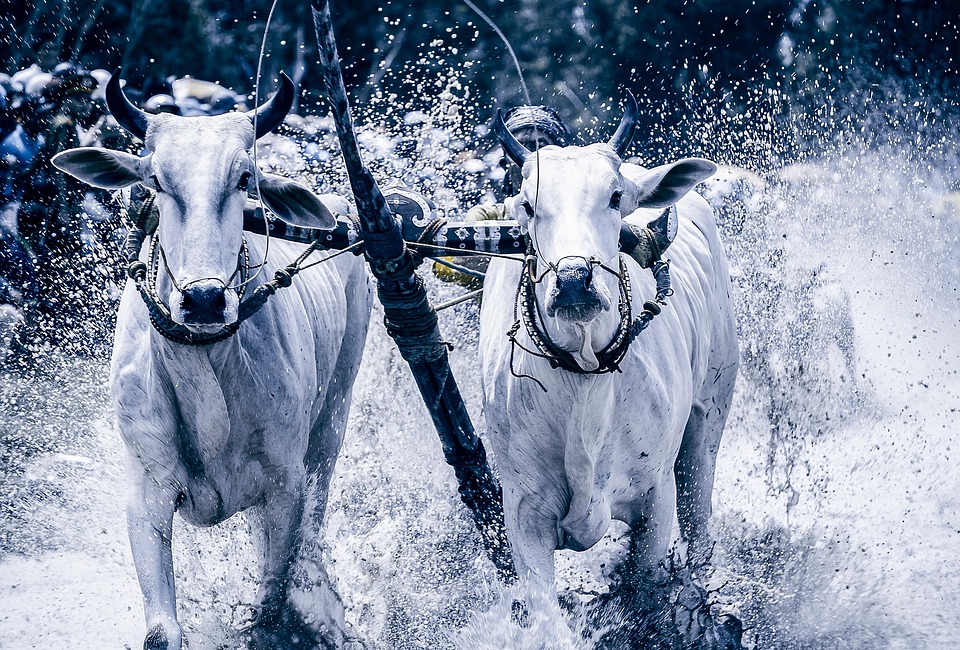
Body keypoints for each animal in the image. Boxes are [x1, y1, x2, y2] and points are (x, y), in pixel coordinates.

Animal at [52, 72, 371, 650]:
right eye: (155, 179)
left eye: (245, 178)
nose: (203, 299)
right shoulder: (146, 489)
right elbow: (162, 630)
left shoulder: (285, 486)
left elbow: (267, 606)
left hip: (333, 415)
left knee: (315, 518)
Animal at [478, 94, 739, 639]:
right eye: (528, 205)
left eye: (616, 197)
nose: (574, 280)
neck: (584, 373)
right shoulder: (523, 514)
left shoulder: (655, 501)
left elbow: (646, 596)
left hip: (709, 418)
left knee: (700, 524)